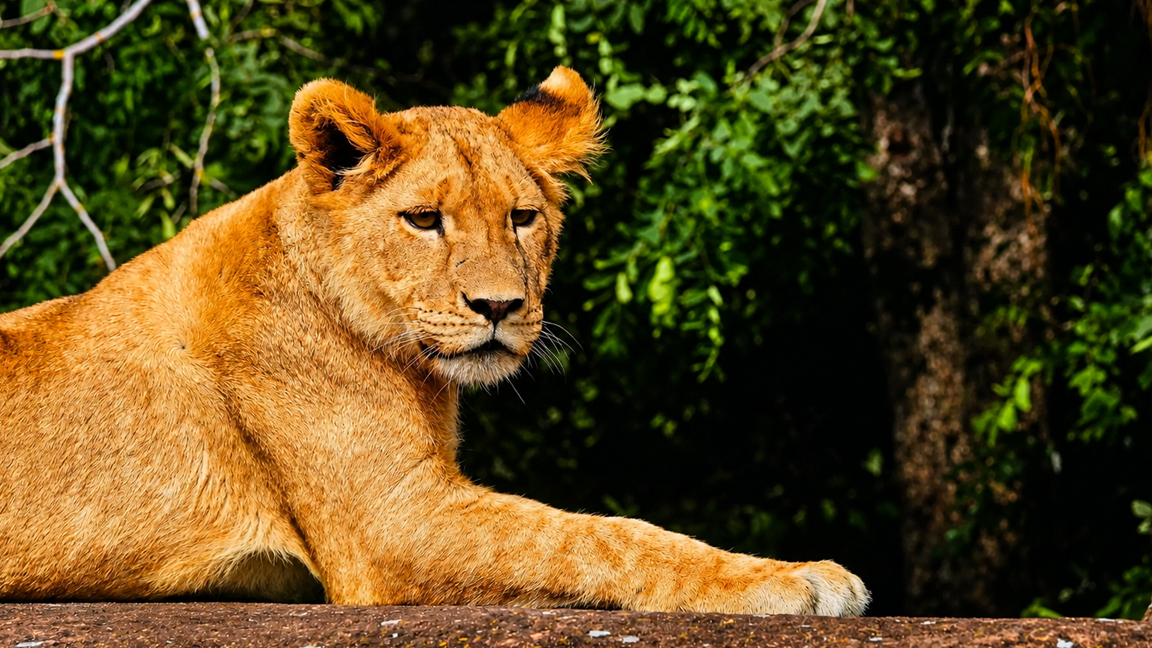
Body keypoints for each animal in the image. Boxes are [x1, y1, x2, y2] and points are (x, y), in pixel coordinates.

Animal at [0, 67, 869, 615]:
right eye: (424, 219)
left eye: (523, 217)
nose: (499, 306)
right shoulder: (391, 524)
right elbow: (597, 536)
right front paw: (797, 577)